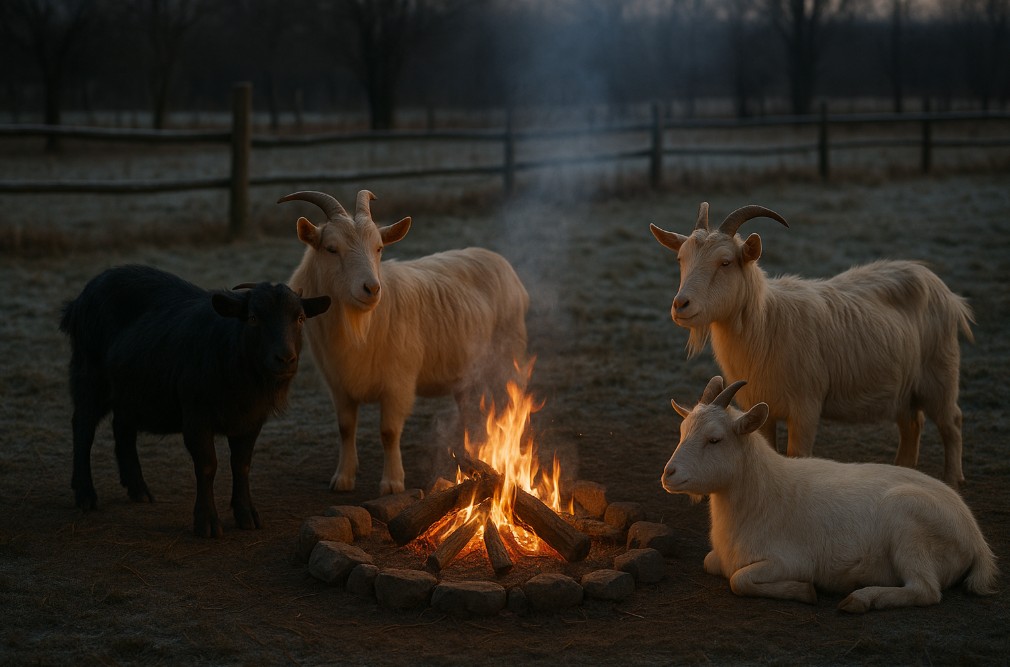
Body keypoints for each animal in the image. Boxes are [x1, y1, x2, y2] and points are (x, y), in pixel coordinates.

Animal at [60, 265, 330, 537]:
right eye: (253, 317)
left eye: (300, 318)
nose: (285, 359)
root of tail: (80, 300)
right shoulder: (196, 418)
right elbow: (207, 465)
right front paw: (207, 522)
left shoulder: (251, 421)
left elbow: (241, 465)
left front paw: (246, 515)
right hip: (89, 377)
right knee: (83, 428)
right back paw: (85, 494)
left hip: (130, 390)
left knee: (122, 428)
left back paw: (138, 489)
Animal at [281, 190, 529, 495]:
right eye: (331, 248)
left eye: (379, 248)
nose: (371, 289)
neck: (361, 325)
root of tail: (497, 260)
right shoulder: (338, 383)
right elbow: (345, 428)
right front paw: (343, 478)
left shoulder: (397, 382)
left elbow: (388, 432)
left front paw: (392, 483)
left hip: (508, 358)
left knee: (507, 403)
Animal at [650, 203, 974, 486]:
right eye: (680, 259)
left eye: (725, 262)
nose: (681, 305)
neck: (767, 324)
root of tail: (943, 289)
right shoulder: (763, 404)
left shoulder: (805, 407)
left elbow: (797, 454)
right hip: (903, 389)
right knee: (912, 425)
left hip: (940, 374)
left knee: (952, 422)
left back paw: (953, 479)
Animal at [662, 376, 998, 612]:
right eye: (682, 431)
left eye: (715, 439)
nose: (668, 474)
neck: (766, 492)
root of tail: (977, 541)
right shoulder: (722, 557)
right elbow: (711, 562)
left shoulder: (791, 560)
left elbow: (738, 579)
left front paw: (804, 591)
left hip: (910, 532)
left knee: (925, 590)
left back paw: (861, 599)